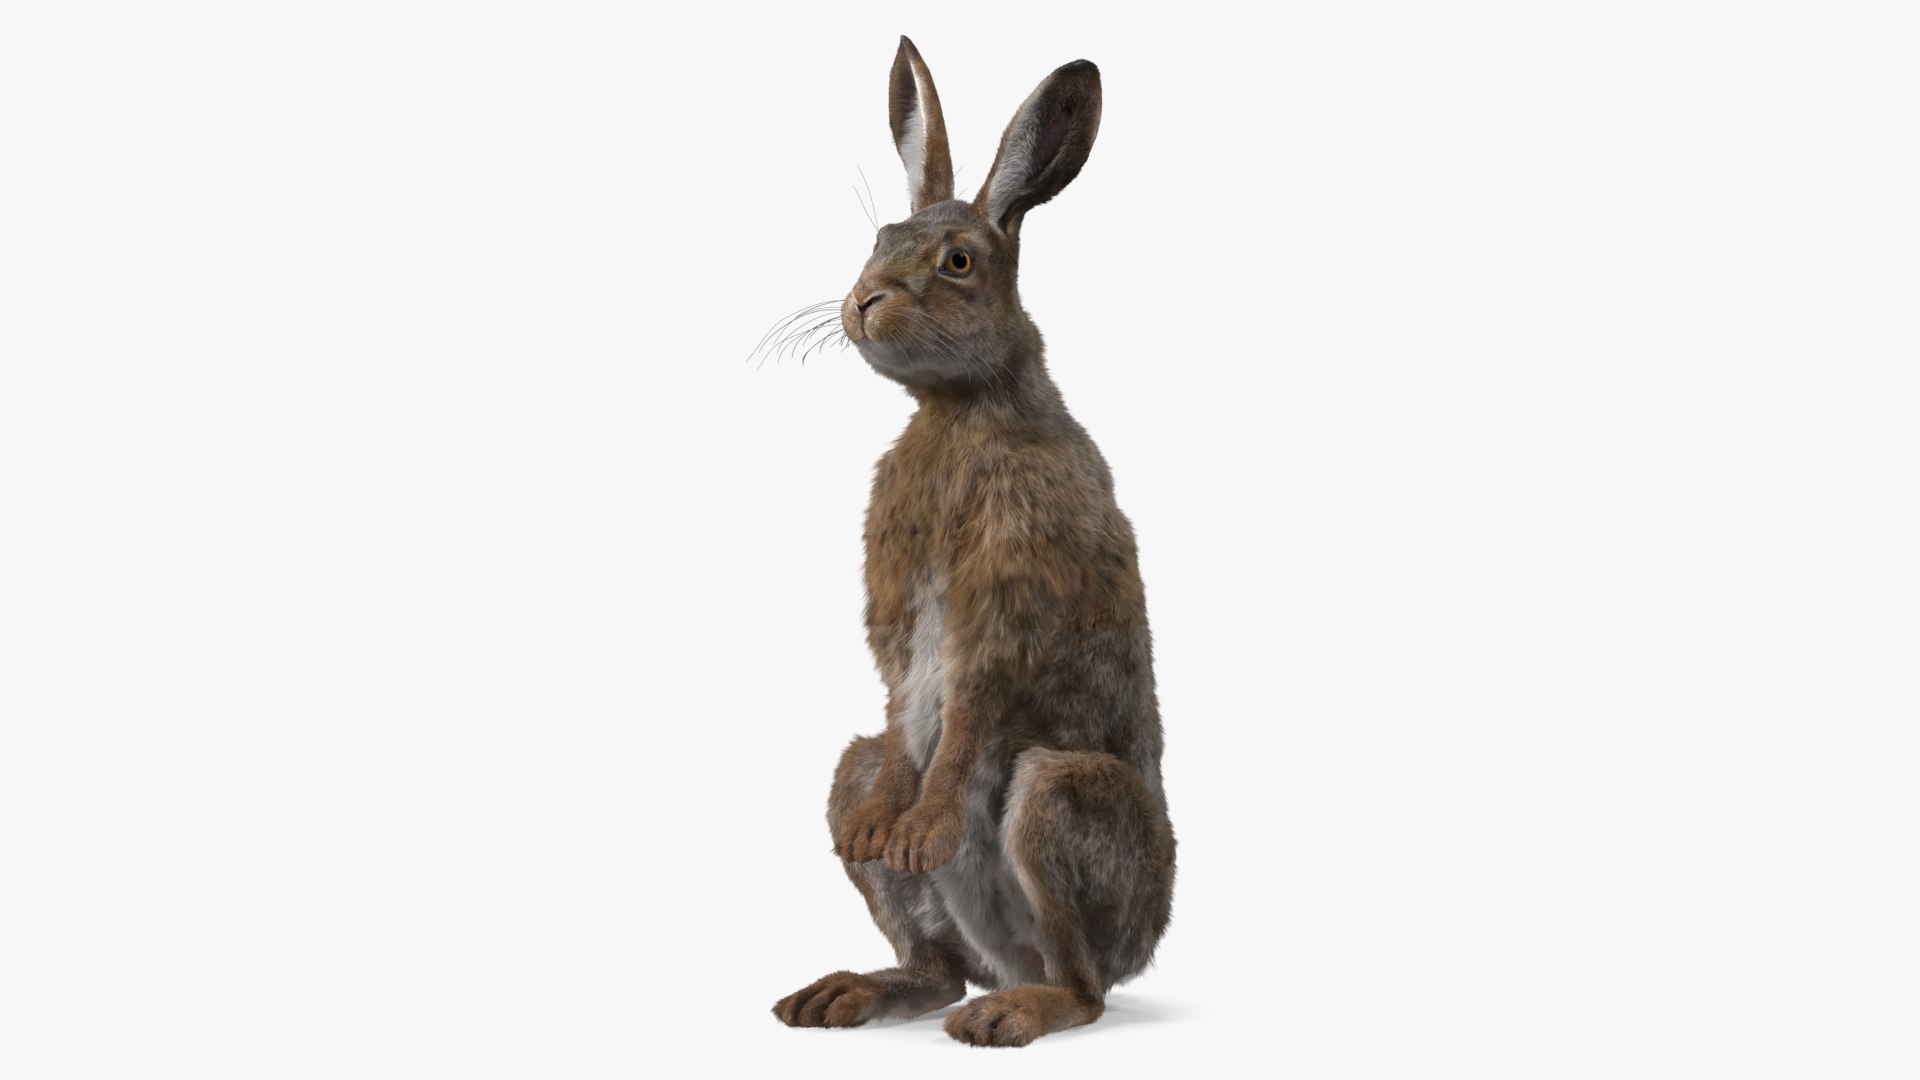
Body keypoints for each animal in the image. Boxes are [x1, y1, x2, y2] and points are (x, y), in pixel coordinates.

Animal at [770, 37, 1175, 1048]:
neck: (961, 408)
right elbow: (902, 690)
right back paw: (845, 990)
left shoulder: (1006, 597)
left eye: (957, 261)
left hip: (1056, 796)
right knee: (934, 966)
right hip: (855, 775)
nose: (863, 300)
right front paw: (891, 827)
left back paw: (1009, 1014)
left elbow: (974, 703)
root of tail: (1009, 957)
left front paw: (922, 828)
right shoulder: (898, 619)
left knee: (1084, 987)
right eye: (880, 240)